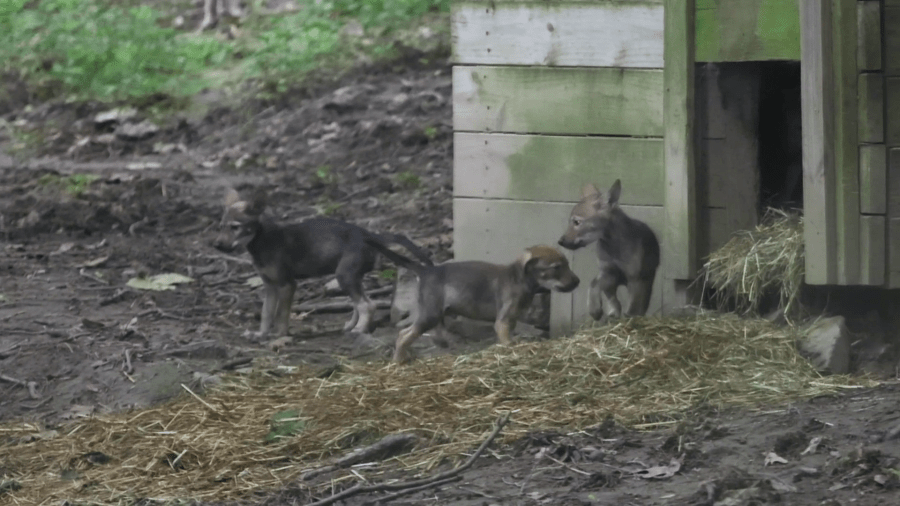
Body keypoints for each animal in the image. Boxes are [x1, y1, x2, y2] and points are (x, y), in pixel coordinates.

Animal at [558, 179, 660, 321]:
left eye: (577, 222)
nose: (560, 241)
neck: (613, 248)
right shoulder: (609, 272)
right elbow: (593, 284)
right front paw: (595, 310)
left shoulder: (636, 279)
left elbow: (633, 308)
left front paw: (630, 319)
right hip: (613, 283)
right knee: (612, 298)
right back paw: (613, 312)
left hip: (645, 280)